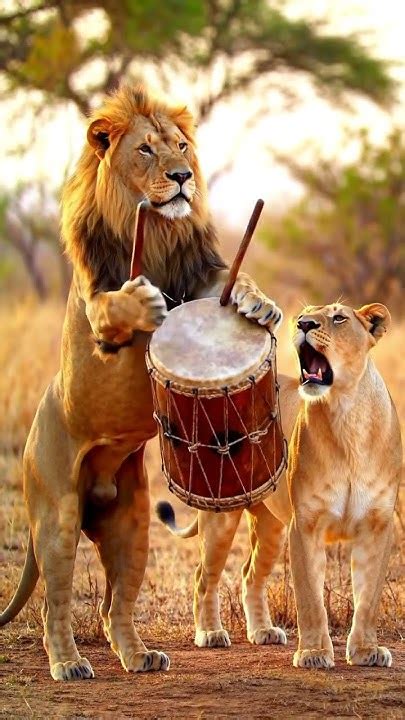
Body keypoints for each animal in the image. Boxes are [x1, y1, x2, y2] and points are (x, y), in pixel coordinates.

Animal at [0, 83, 283, 681]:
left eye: (181, 145)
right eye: (146, 150)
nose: (183, 177)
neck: (155, 231)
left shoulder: (198, 275)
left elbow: (231, 281)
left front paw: (258, 303)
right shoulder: (97, 315)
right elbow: (112, 306)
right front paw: (140, 301)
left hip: (132, 524)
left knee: (116, 607)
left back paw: (139, 656)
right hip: (57, 515)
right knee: (55, 603)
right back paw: (68, 663)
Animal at [158, 302, 402, 668]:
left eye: (339, 317)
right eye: (306, 315)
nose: (303, 324)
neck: (348, 416)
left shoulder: (377, 526)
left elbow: (368, 597)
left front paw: (365, 651)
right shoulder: (306, 526)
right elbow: (310, 598)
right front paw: (314, 653)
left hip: (270, 528)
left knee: (249, 573)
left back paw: (263, 631)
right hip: (221, 518)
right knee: (204, 576)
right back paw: (210, 633)